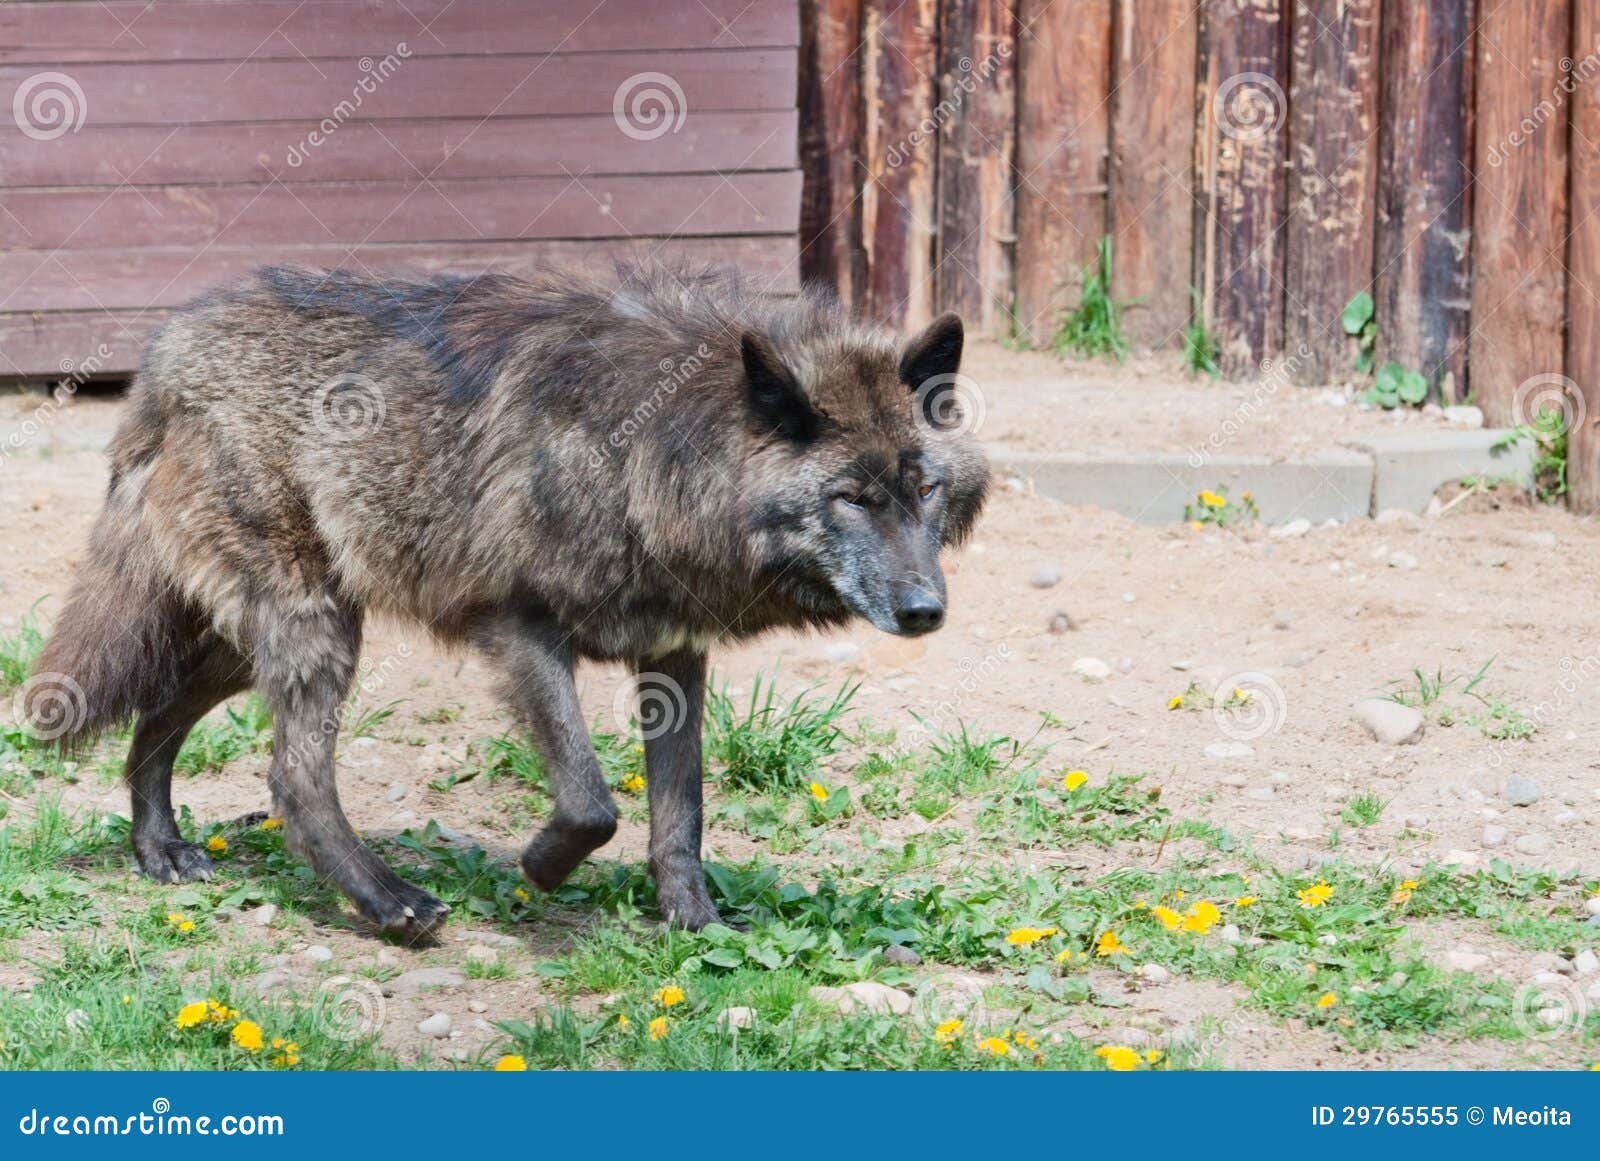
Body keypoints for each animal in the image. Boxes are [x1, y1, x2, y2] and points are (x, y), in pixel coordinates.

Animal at [27, 264, 988, 937]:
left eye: (924, 489)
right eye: (851, 498)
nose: (924, 611)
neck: (652, 456)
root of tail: (169, 347)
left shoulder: (674, 655)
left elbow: (680, 814)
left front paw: (695, 923)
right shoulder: (520, 631)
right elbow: (592, 803)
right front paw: (538, 868)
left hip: (256, 638)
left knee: (159, 714)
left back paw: (157, 849)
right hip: (316, 632)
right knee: (294, 775)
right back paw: (389, 904)